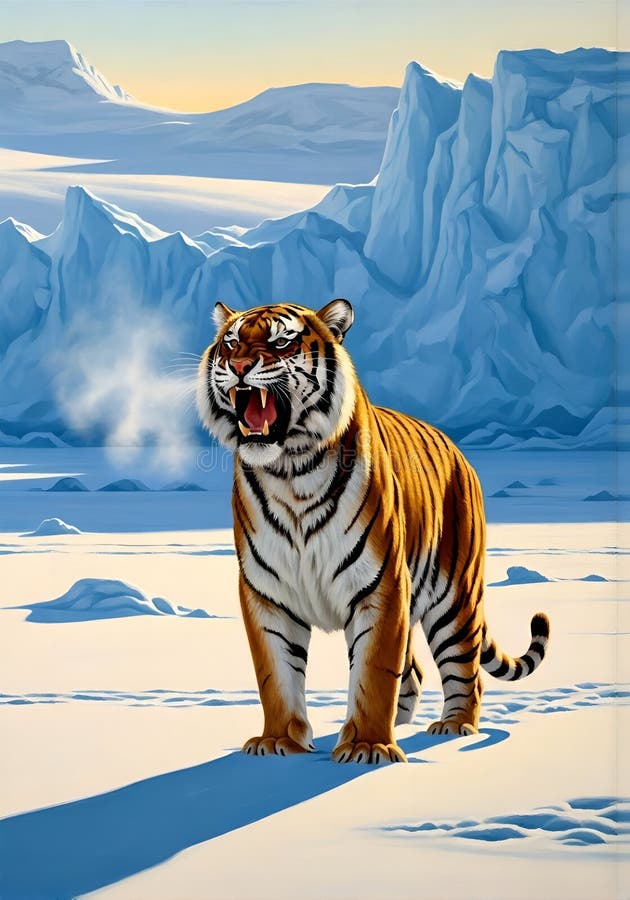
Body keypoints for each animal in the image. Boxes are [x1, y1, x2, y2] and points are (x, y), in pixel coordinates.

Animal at [197, 298, 550, 764]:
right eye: (231, 342)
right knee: (414, 672)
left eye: (281, 341)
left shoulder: (381, 586)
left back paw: (454, 727)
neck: (290, 471)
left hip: (454, 599)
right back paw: (402, 724)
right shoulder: (267, 593)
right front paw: (279, 742)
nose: (238, 365)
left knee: (465, 672)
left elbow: (375, 670)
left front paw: (367, 745)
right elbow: (276, 674)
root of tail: (460, 453)